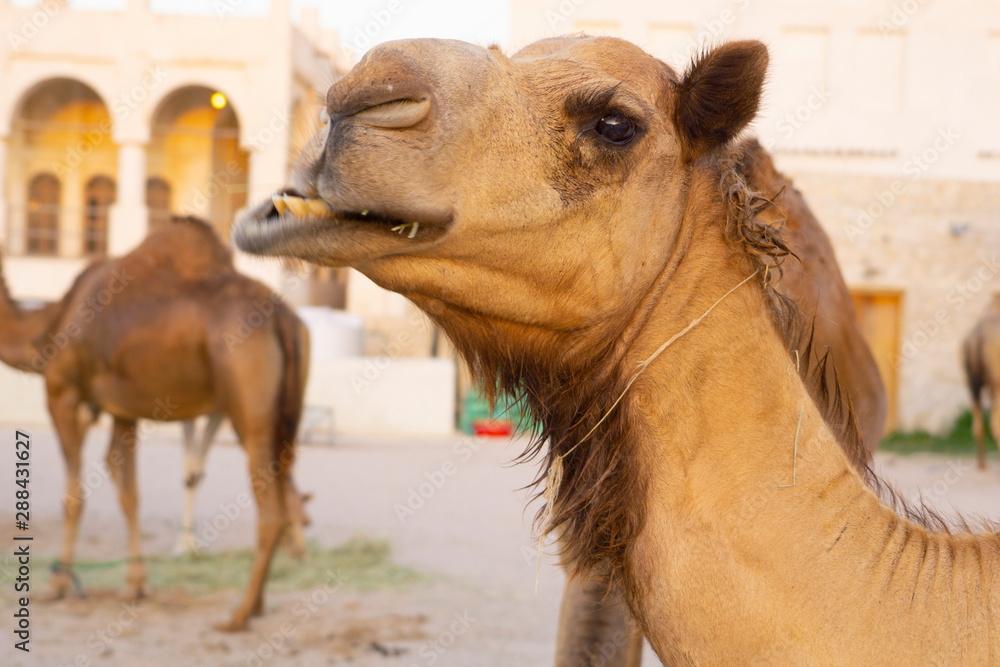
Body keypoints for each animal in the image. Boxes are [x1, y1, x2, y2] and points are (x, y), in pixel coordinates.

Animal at [8, 217, 310, 631]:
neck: (49, 325)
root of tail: (284, 319)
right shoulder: (121, 409)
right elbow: (128, 491)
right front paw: (135, 585)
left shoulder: (61, 392)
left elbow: (74, 497)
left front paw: (57, 585)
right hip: (280, 417)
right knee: (283, 489)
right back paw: (259, 603)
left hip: (251, 411)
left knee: (270, 509)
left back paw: (238, 615)